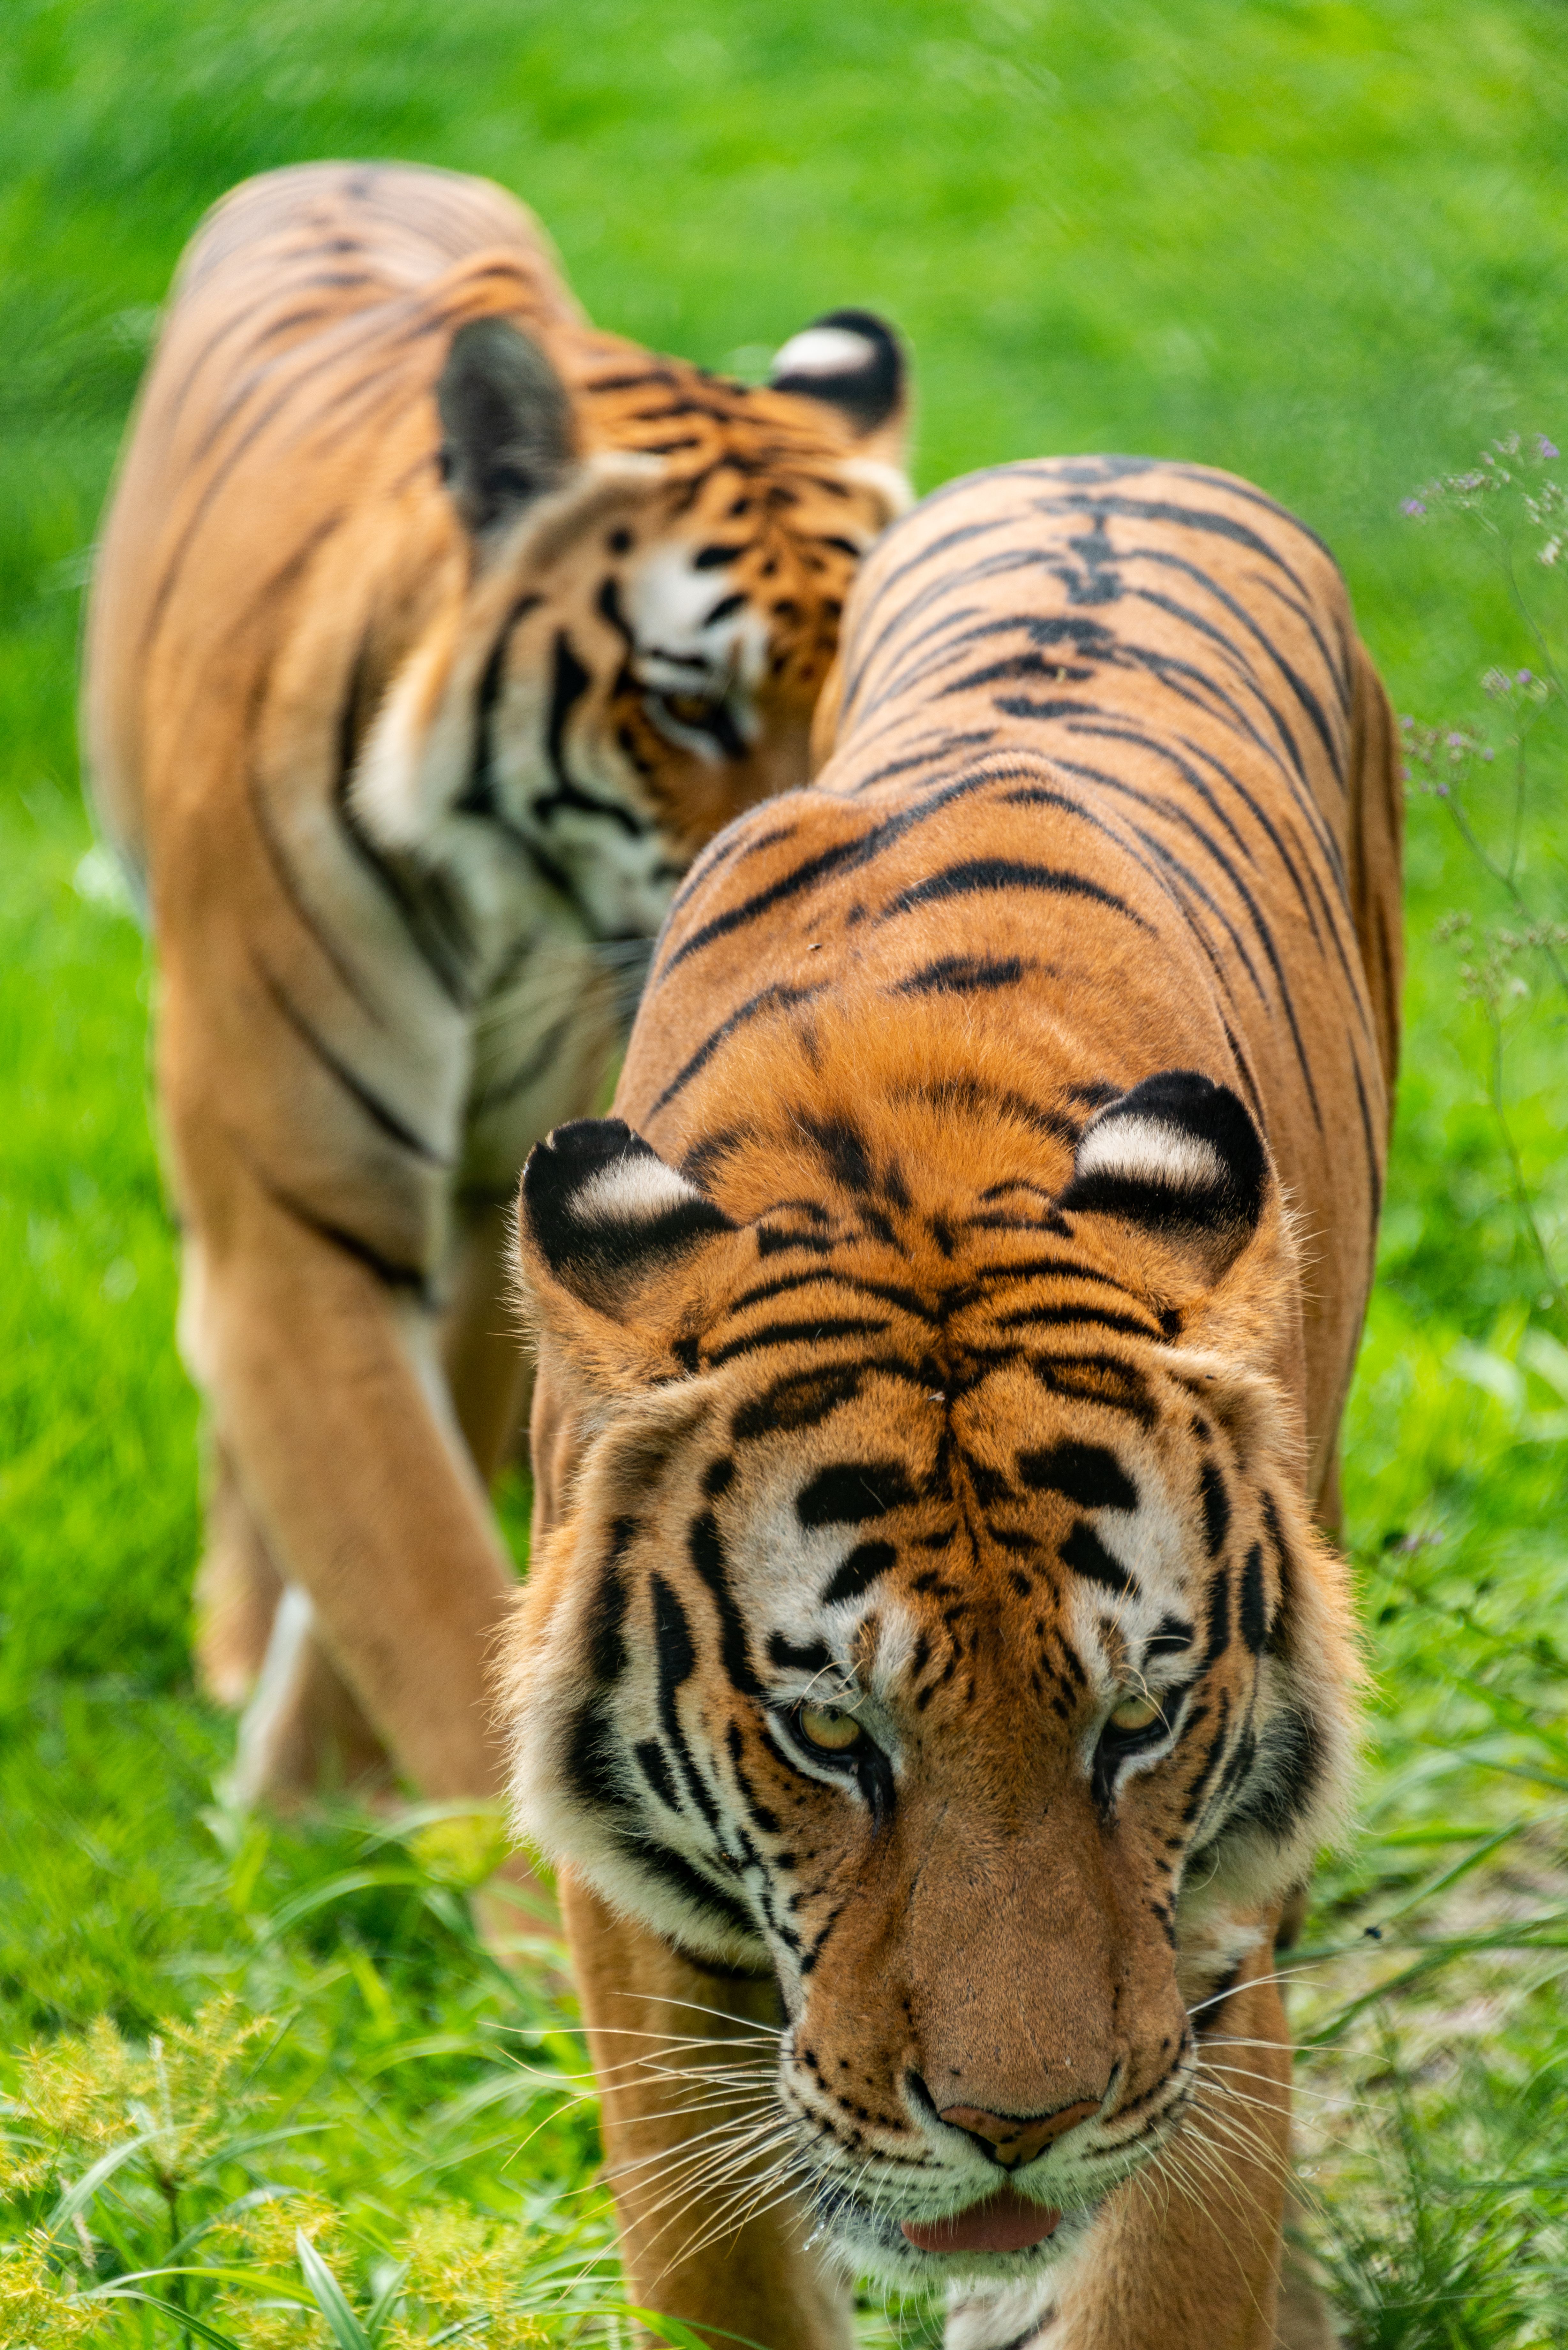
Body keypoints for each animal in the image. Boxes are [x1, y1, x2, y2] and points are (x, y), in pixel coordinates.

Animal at [80, 160, 910, 1857]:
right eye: (688, 704)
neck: (510, 916)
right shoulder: (298, 1221)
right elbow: (404, 1559)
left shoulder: (503, 1196)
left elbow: (425, 1529)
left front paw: (321, 1791)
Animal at [504, 453, 1401, 2345]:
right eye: (830, 1738)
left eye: (1138, 1720)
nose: (1017, 2123)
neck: (910, 1163)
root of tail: (1116, 461)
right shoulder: (637, 1944)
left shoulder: (1203, 1972)